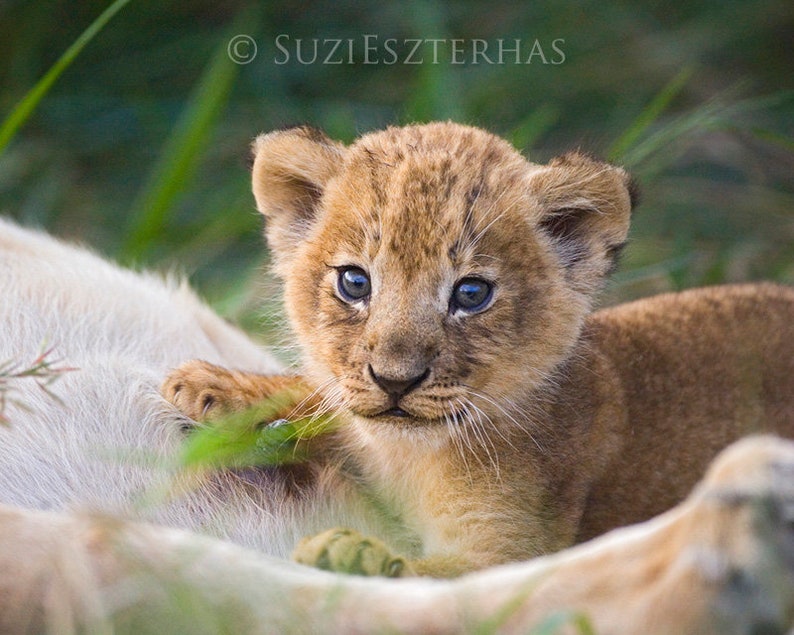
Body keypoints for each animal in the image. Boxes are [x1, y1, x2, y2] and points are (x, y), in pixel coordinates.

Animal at [161, 122, 794, 579]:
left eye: (471, 294)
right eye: (355, 282)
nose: (395, 381)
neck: (405, 459)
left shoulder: (515, 549)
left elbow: (433, 578)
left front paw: (350, 554)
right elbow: (324, 397)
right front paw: (212, 386)